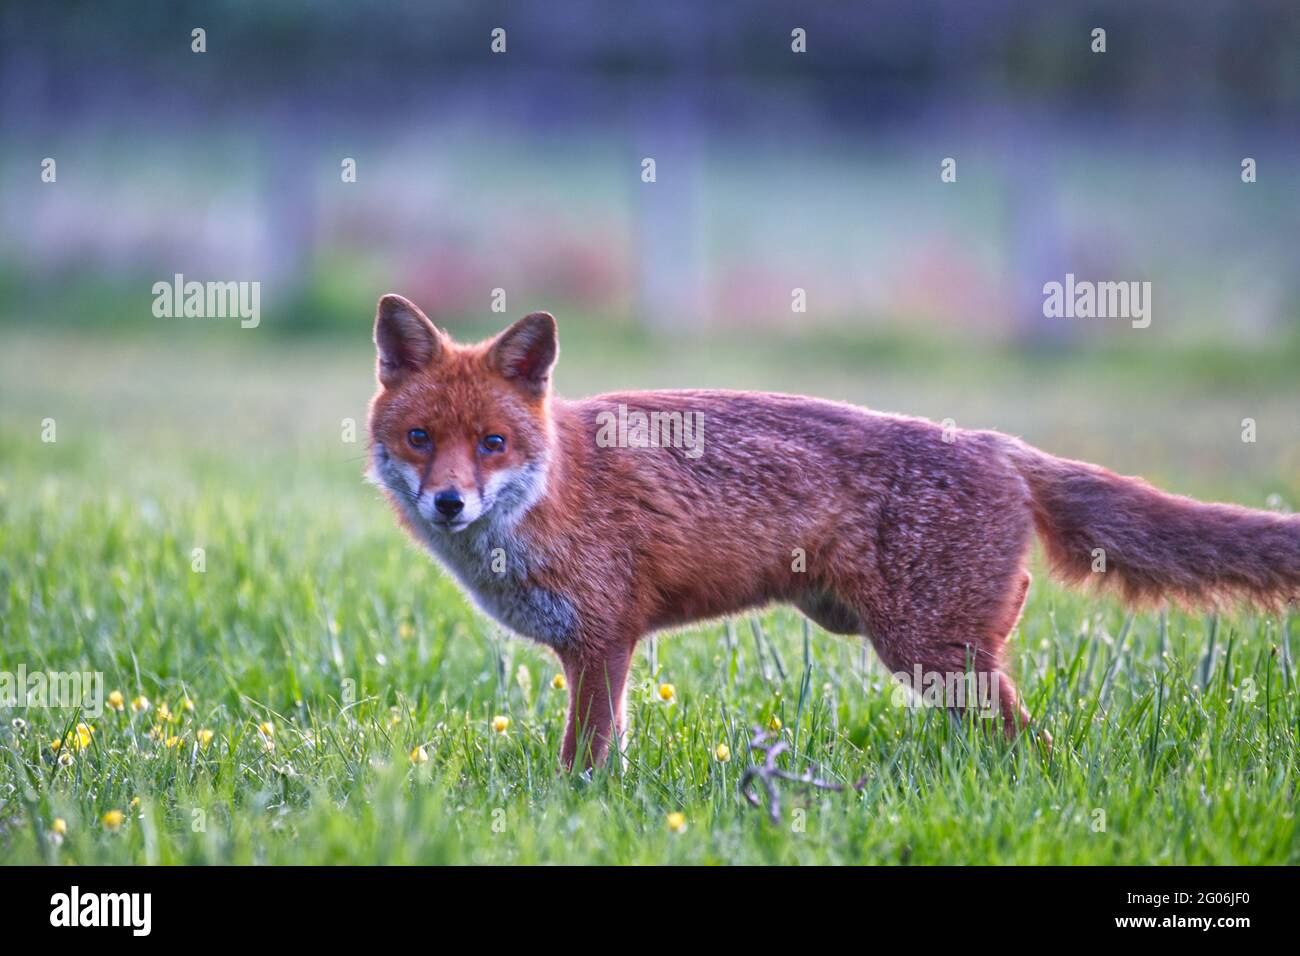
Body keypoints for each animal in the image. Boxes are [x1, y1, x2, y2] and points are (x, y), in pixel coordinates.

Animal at [366, 293, 1300, 769]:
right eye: (420, 439)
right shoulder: (589, 648)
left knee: (1030, 739)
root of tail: (996, 444)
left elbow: (588, 754)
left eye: (492, 444)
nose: (449, 503)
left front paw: (581, 807)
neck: (552, 491)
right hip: (911, 642)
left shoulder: (604, 639)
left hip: (930, 650)